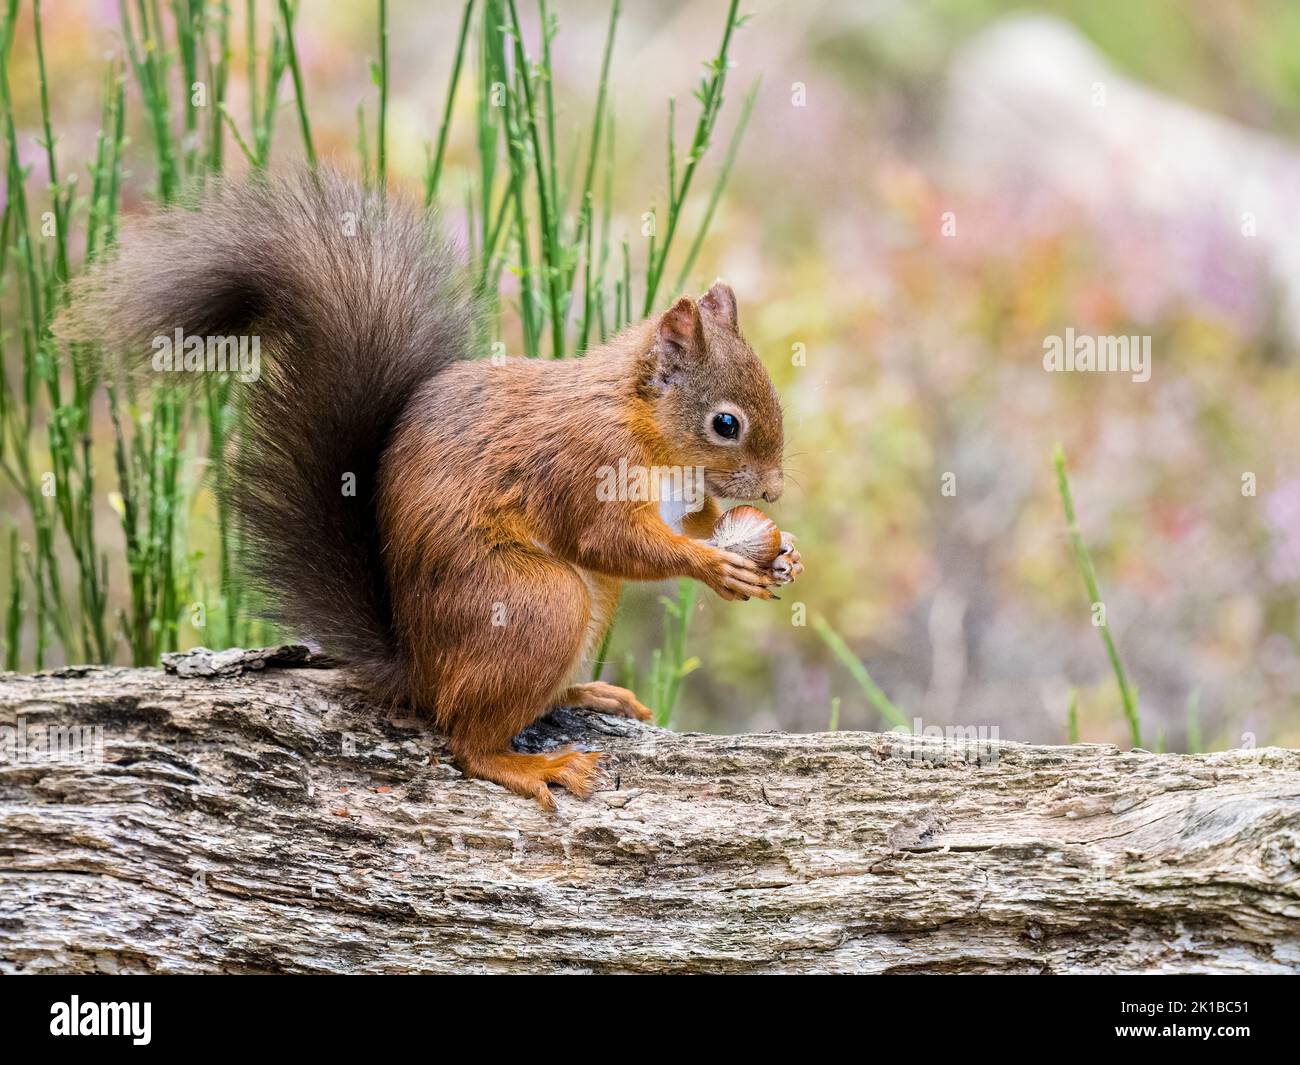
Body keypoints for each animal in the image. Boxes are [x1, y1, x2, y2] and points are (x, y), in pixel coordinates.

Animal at [65, 168, 801, 808]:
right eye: (726, 423)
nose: (772, 491)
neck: (644, 427)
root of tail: (416, 669)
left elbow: (687, 523)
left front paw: (780, 552)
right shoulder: (584, 467)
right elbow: (614, 541)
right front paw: (714, 565)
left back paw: (584, 694)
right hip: (536, 605)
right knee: (465, 742)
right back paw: (531, 764)